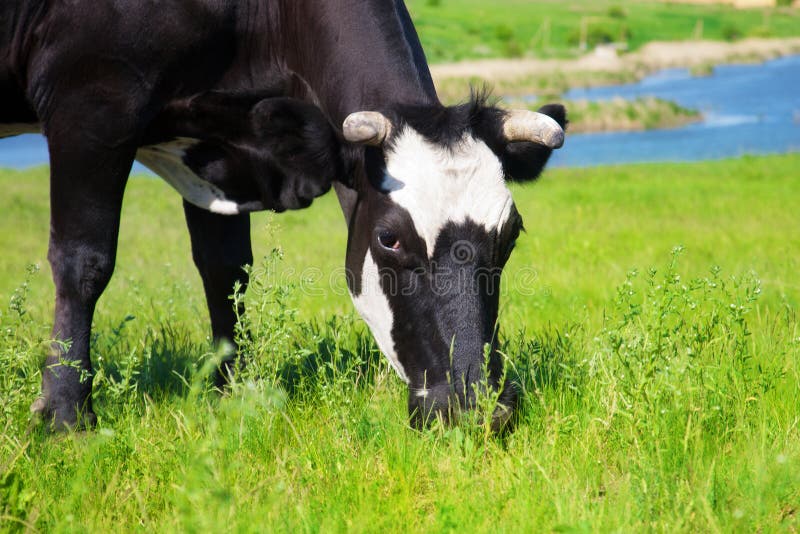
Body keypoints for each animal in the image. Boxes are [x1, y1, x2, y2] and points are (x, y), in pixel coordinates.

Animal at [0, 0, 565, 431]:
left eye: (511, 234)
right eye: (389, 238)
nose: (479, 408)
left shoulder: (211, 153)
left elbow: (226, 272)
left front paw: (229, 393)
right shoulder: (93, 100)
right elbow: (84, 262)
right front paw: (66, 415)